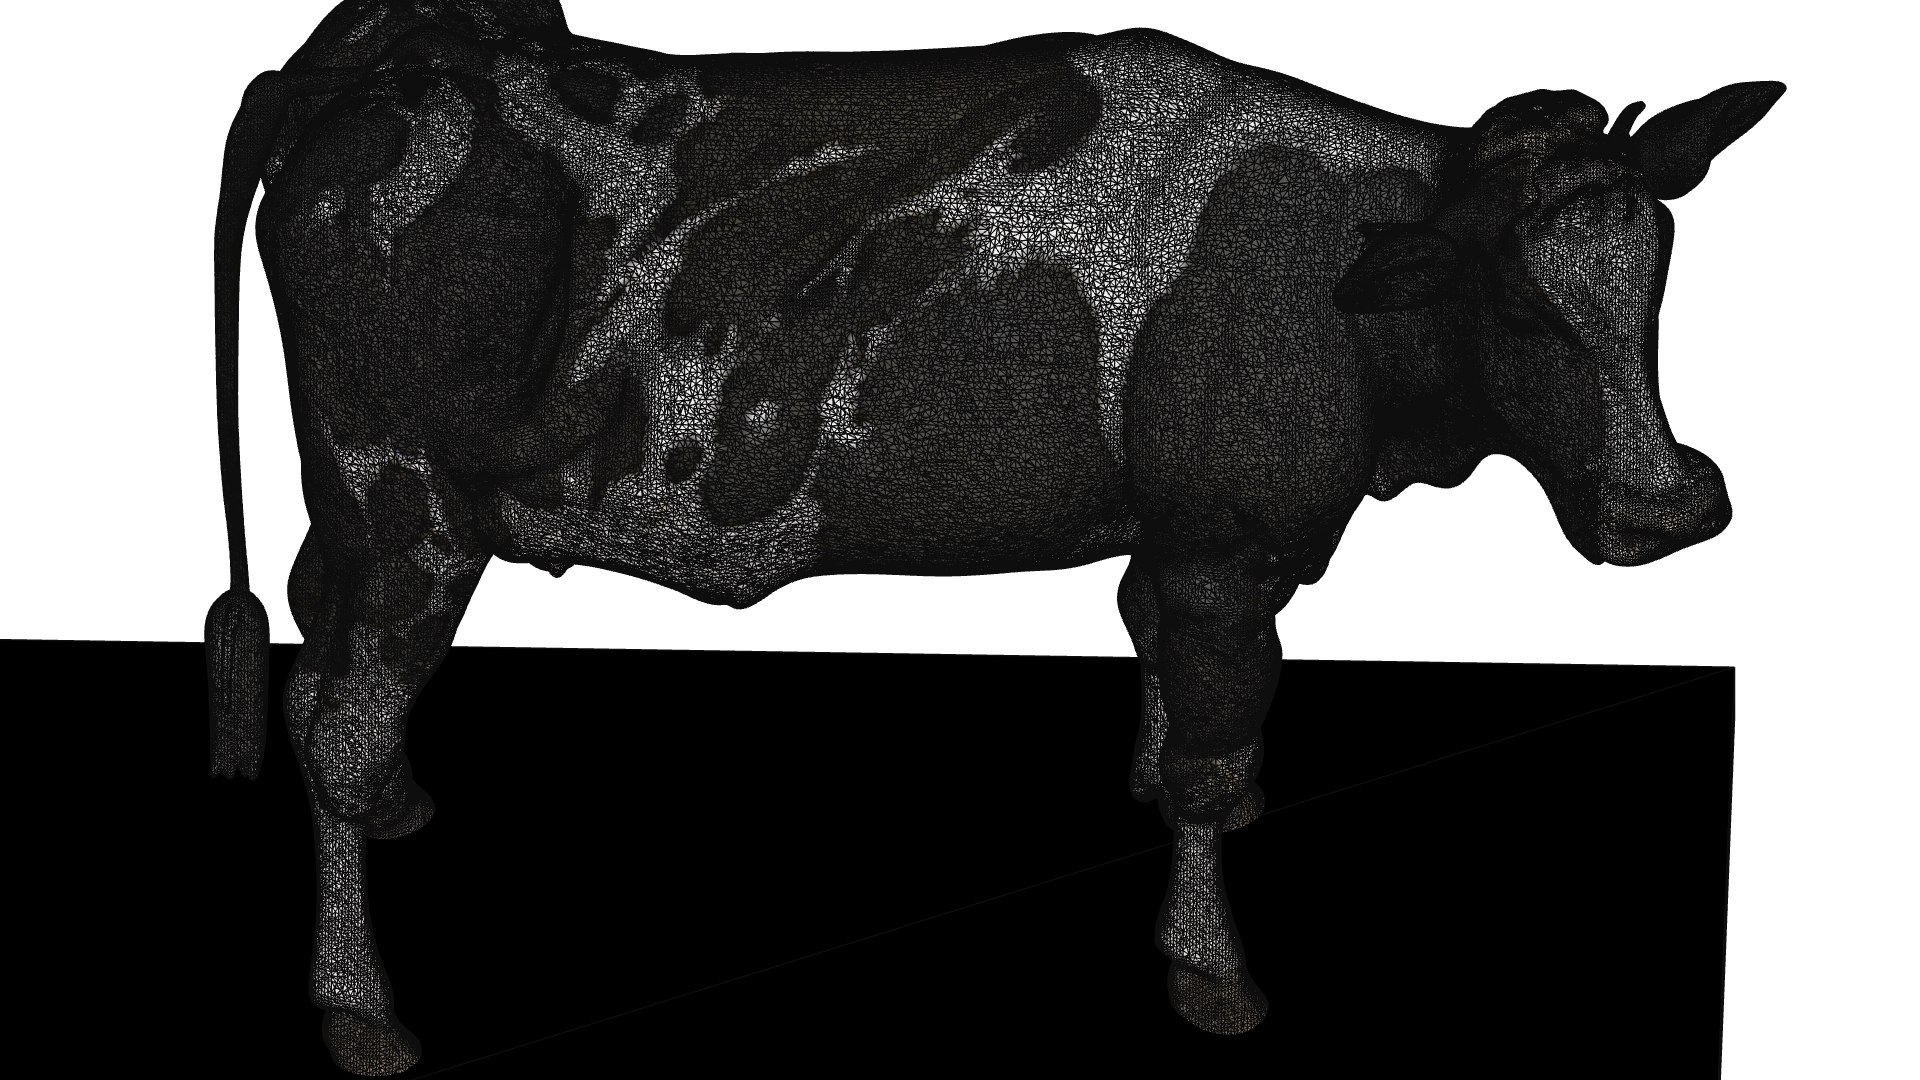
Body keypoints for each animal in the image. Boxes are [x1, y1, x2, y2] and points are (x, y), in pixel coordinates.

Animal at [202, 0, 1782, 1073]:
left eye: (1657, 270)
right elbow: (1214, 755)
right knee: (335, 715)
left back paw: (397, 806)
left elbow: (1177, 706)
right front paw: (1212, 971)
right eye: (1517, 304)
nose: (1673, 501)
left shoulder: (1171, 551)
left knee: (316, 665)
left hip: (351, 515)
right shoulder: (1228, 548)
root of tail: (380, 62)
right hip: (407, 505)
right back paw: (360, 1010)